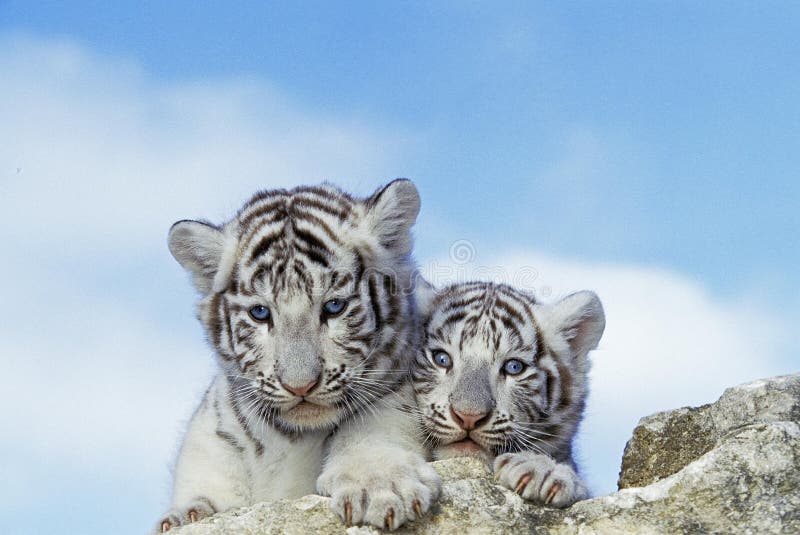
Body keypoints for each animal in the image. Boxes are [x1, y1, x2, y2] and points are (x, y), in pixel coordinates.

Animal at [157, 179, 440, 532]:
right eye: (260, 313)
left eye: (334, 306)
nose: (300, 386)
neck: (292, 437)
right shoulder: (213, 424)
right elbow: (207, 465)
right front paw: (188, 514)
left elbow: (376, 424)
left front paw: (379, 484)